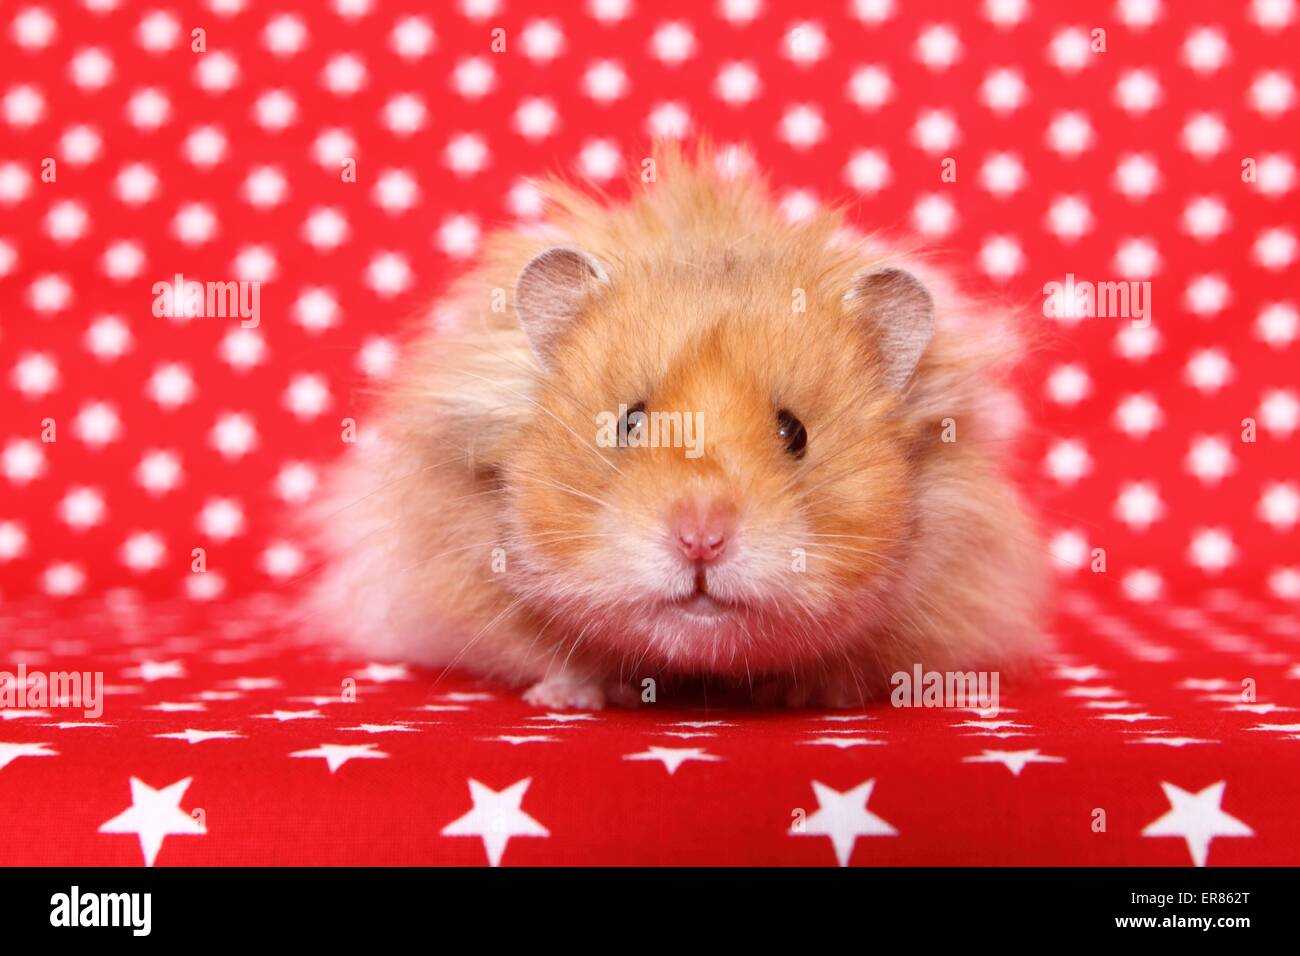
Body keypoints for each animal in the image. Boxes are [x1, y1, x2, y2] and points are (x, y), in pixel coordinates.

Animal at [303, 144, 1049, 710]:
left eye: (795, 433)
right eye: (629, 421)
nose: (701, 540)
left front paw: (806, 695)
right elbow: (557, 650)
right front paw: (568, 696)